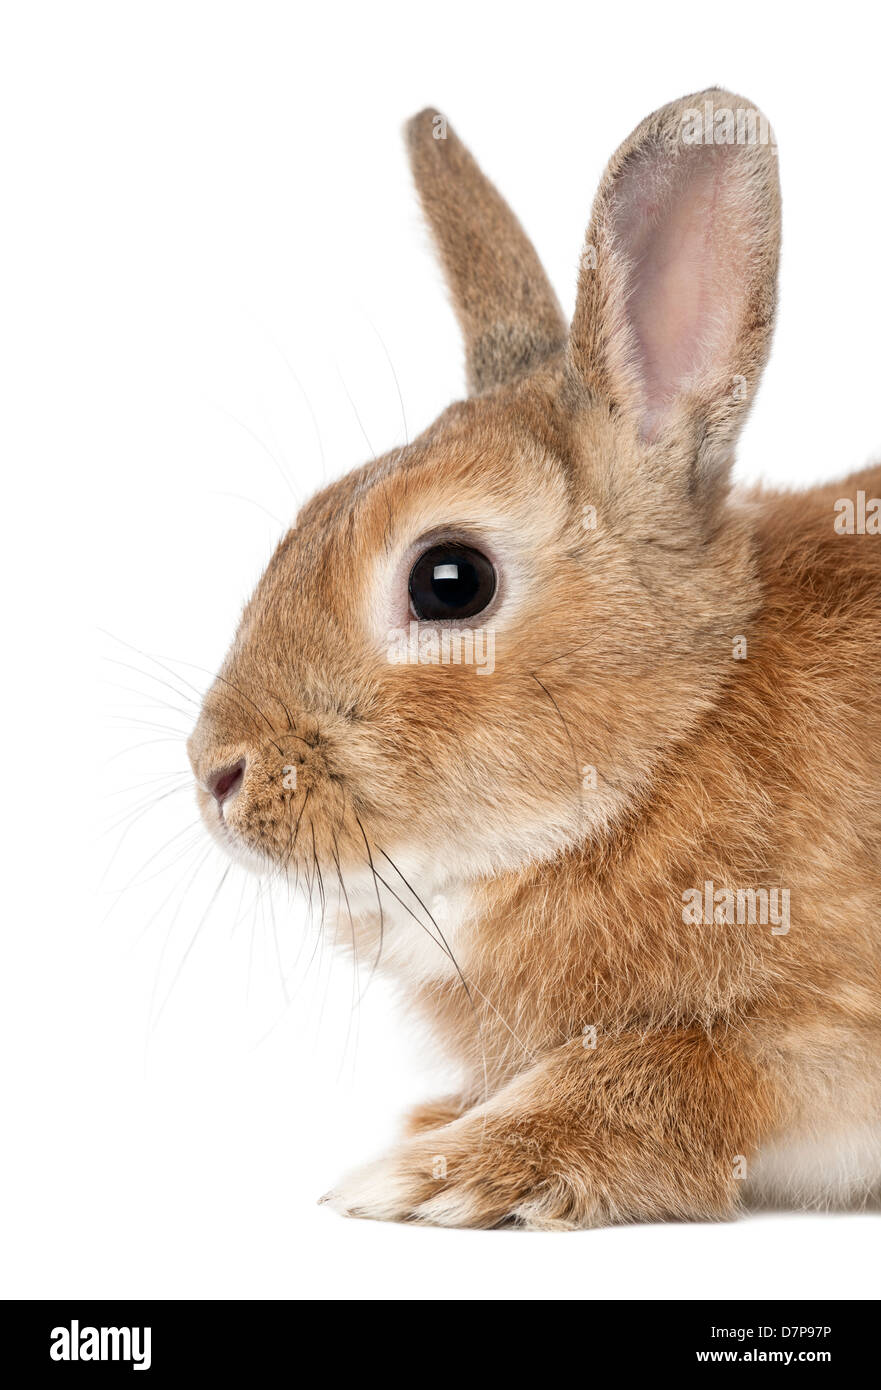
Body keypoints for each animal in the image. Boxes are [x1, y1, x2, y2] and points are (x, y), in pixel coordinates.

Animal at [187, 88, 881, 1229]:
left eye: (449, 580)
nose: (215, 774)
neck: (677, 741)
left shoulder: (815, 1045)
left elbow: (667, 1073)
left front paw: (438, 1170)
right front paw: (431, 1129)